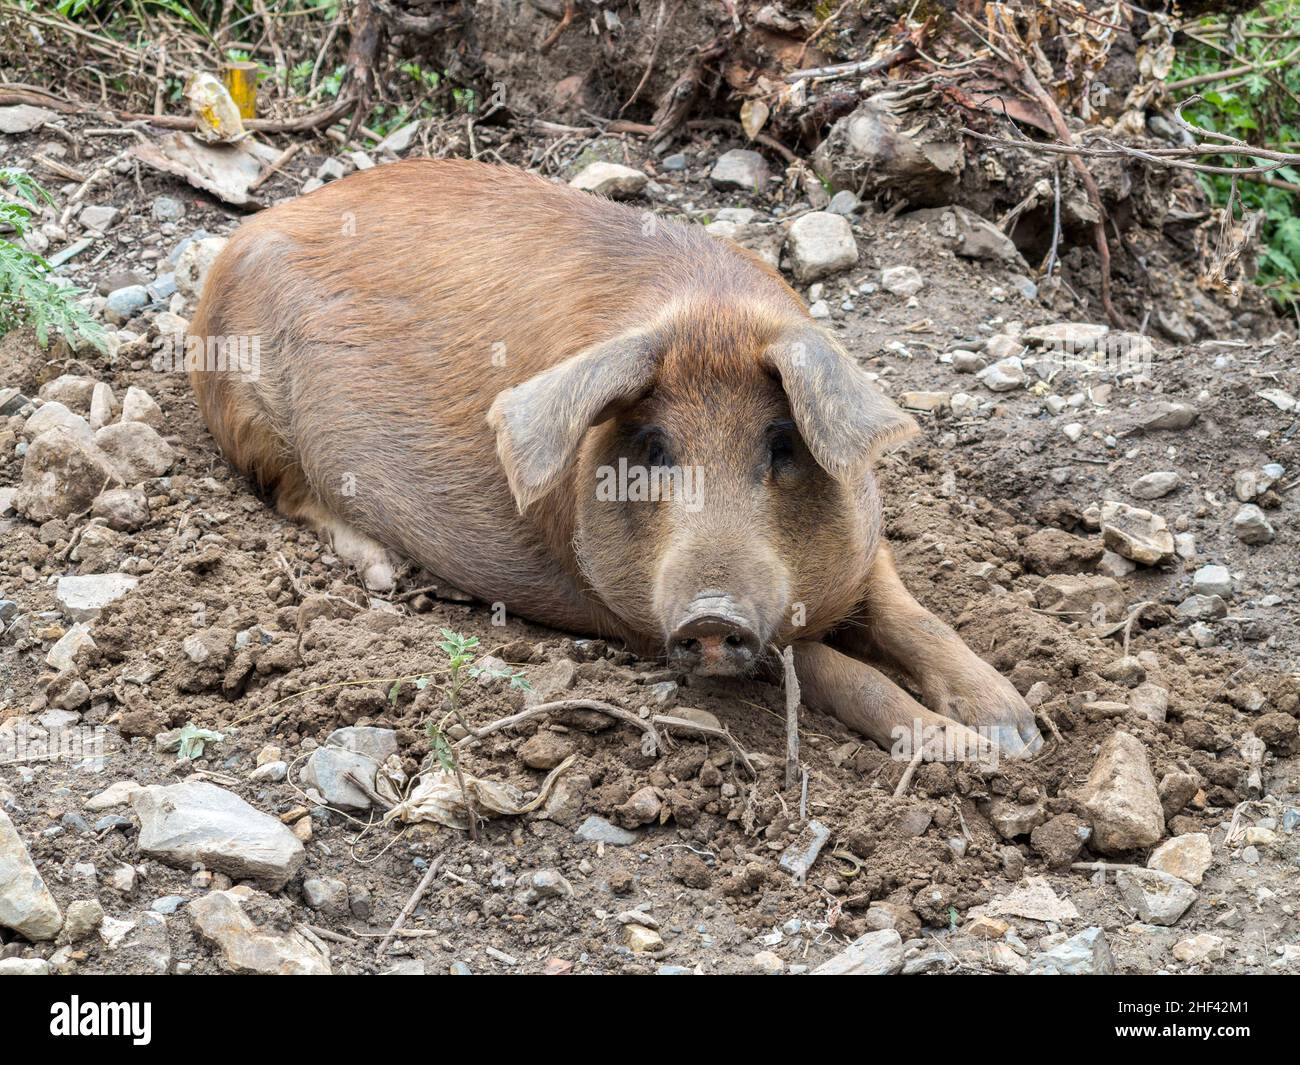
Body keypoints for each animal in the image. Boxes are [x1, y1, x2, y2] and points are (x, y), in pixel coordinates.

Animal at [188, 159, 1042, 758]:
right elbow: (838, 670)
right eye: (655, 448)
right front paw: (973, 755)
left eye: (782, 443)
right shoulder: (642, 620)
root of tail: (240, 239)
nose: (711, 611)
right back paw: (383, 574)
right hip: (248, 409)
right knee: (291, 494)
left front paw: (1017, 732)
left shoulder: (868, 543)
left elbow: (910, 611)